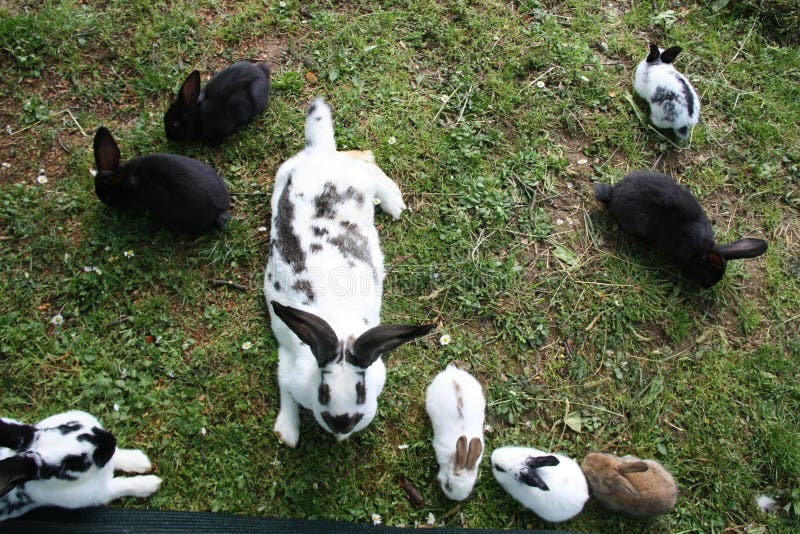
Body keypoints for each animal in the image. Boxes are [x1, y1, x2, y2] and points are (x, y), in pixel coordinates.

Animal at [0, 410, 161, 521]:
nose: (111, 440)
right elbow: (123, 486)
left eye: (68, 426)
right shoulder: (99, 493)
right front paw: (151, 483)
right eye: (75, 463)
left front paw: (141, 460)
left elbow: (118, 457)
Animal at [263, 98, 433, 448]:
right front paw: (287, 432)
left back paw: (394, 204)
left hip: (357, 178)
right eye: (324, 391)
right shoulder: (288, 360)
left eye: (361, 390)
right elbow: (285, 390)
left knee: (365, 158)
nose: (343, 424)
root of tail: (319, 152)